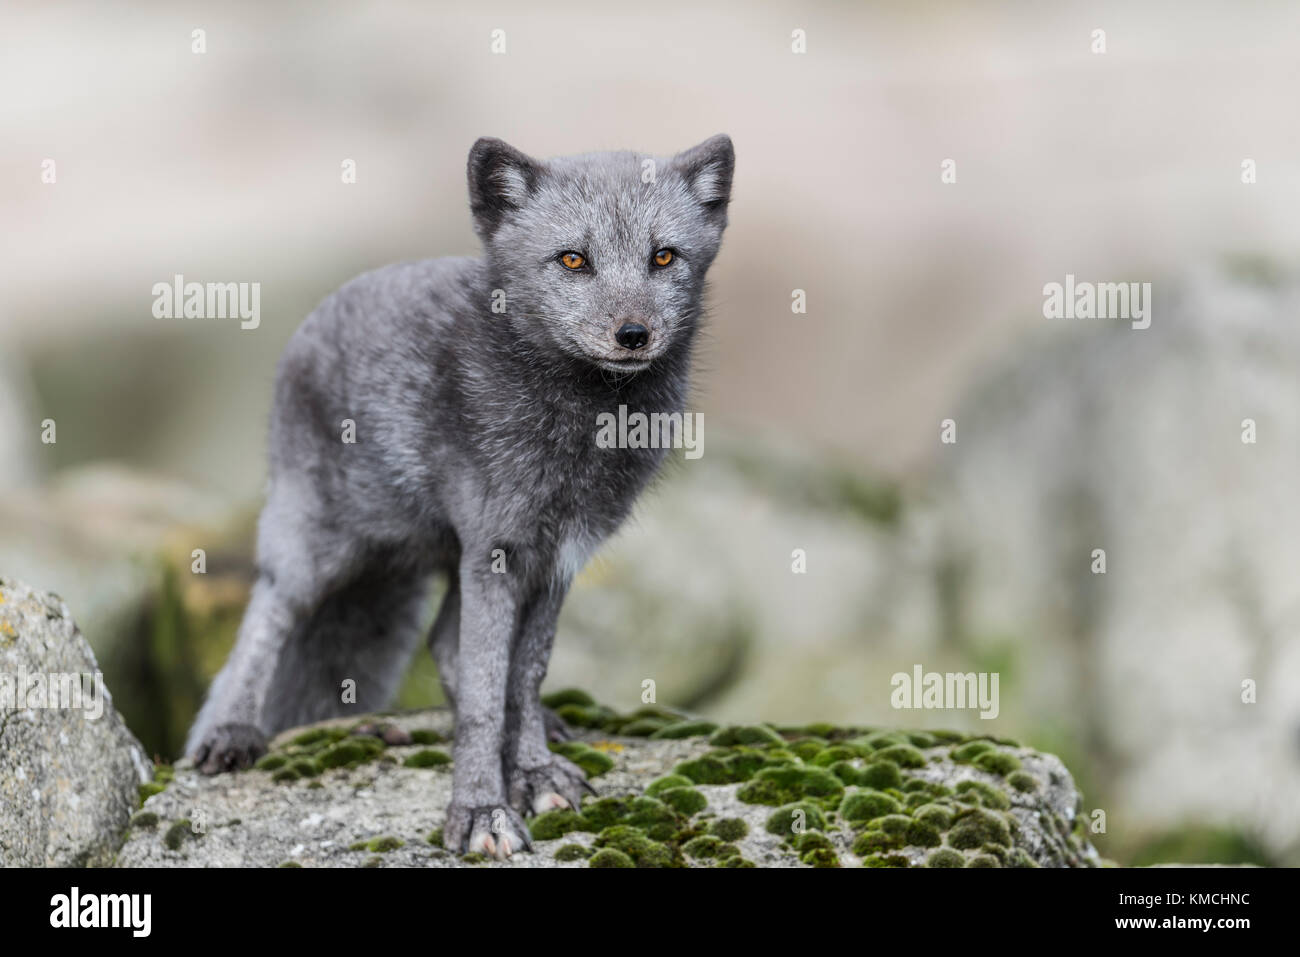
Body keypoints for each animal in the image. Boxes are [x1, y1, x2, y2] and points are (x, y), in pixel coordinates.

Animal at [185, 134, 734, 858]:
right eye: (573, 260)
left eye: (664, 256)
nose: (633, 334)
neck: (584, 422)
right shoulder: (497, 551)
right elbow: (483, 692)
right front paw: (481, 809)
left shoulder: (559, 555)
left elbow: (522, 677)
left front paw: (532, 772)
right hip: (319, 546)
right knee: (268, 612)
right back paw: (231, 732)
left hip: (446, 555)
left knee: (445, 643)